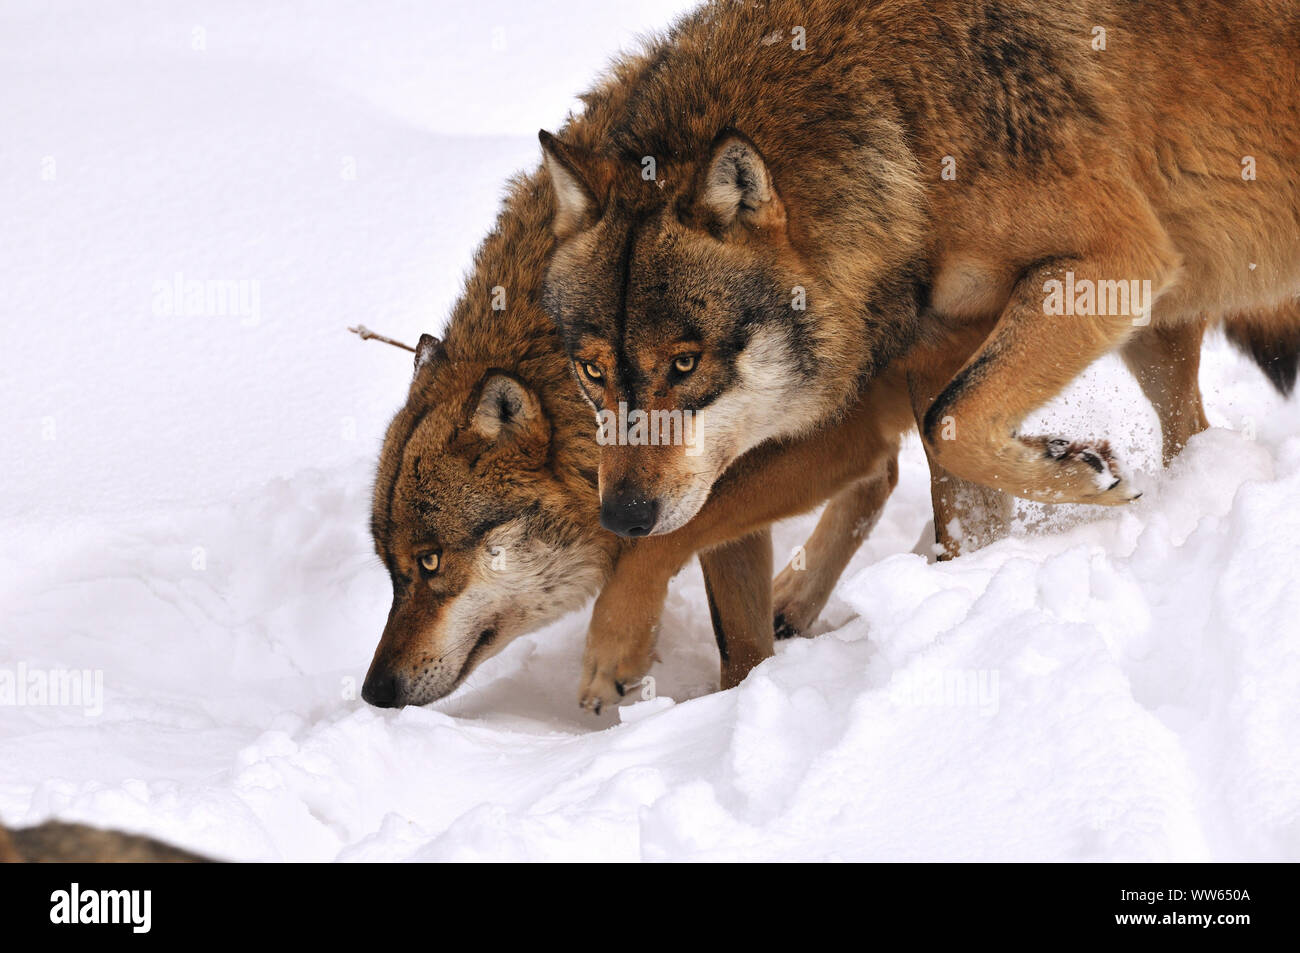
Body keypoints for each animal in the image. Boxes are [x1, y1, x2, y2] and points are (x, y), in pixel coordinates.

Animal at [537, 0, 1300, 537]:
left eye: (685, 364)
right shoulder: (941, 340)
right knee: (1190, 429)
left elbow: (948, 420)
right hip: (1157, 325)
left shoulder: (1118, 259)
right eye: (592, 371)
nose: (623, 518)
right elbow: (956, 475)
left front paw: (1083, 475)